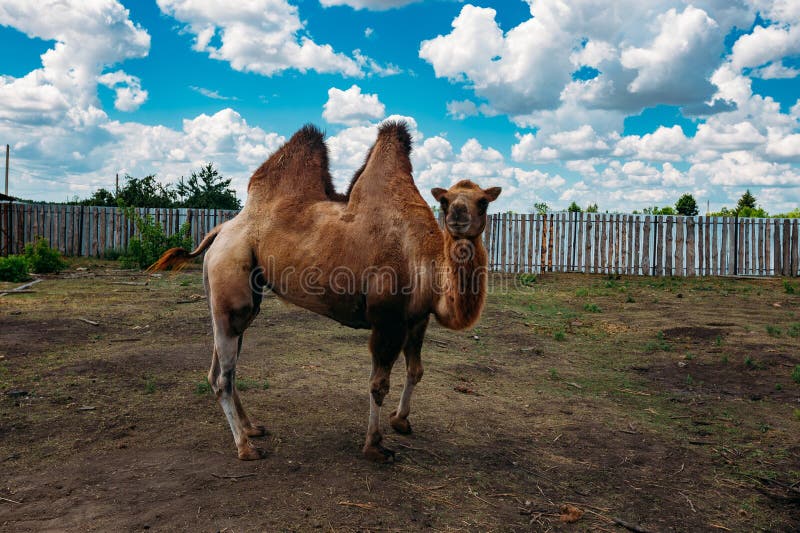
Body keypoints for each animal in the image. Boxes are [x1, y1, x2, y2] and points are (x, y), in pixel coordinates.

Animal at [149, 121, 501, 462]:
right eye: (445, 200)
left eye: (483, 201)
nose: (457, 217)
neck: (425, 256)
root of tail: (222, 229)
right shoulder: (387, 319)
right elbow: (378, 385)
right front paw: (375, 447)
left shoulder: (416, 318)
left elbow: (416, 370)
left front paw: (401, 421)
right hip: (230, 285)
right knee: (224, 375)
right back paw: (246, 448)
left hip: (238, 297)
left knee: (222, 368)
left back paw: (252, 429)